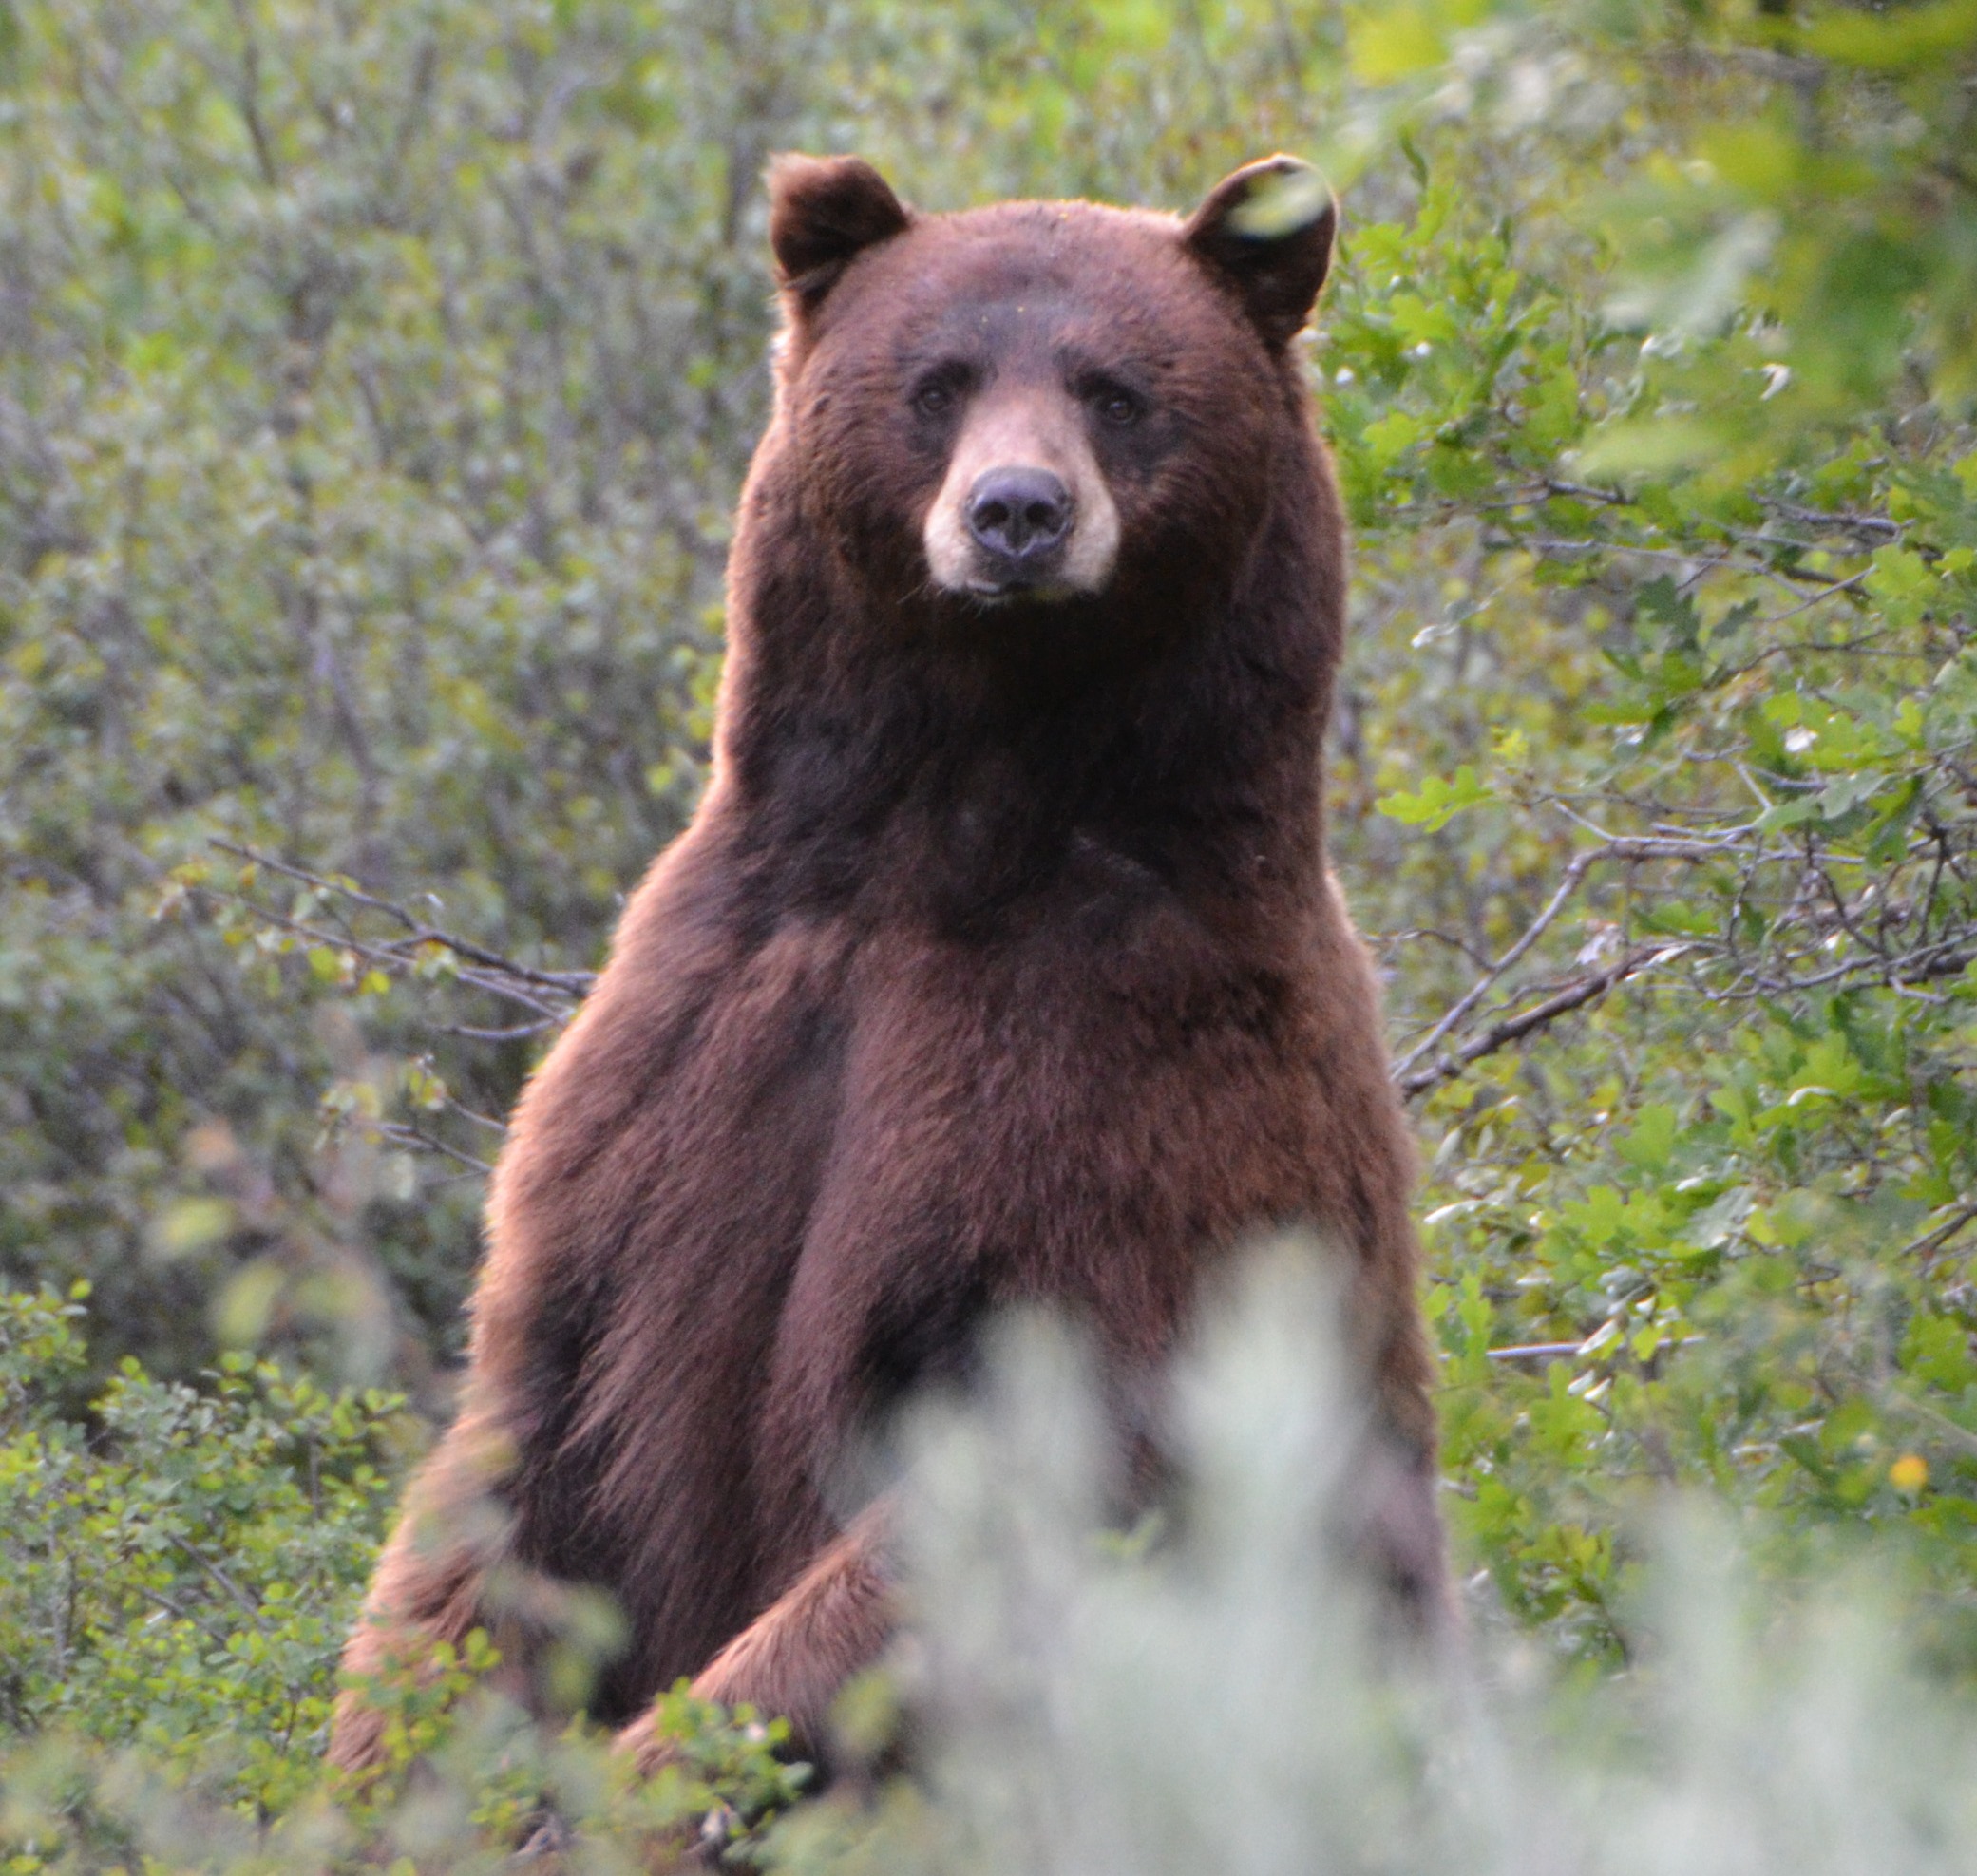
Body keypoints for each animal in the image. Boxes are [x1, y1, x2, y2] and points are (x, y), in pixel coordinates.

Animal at [328, 151, 1446, 1777]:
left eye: (1116, 389)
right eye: (939, 380)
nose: (1016, 511)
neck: (957, 819)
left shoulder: (1143, 1083)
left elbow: (1018, 1493)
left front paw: (658, 1772)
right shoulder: (693, 1040)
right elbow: (513, 1467)